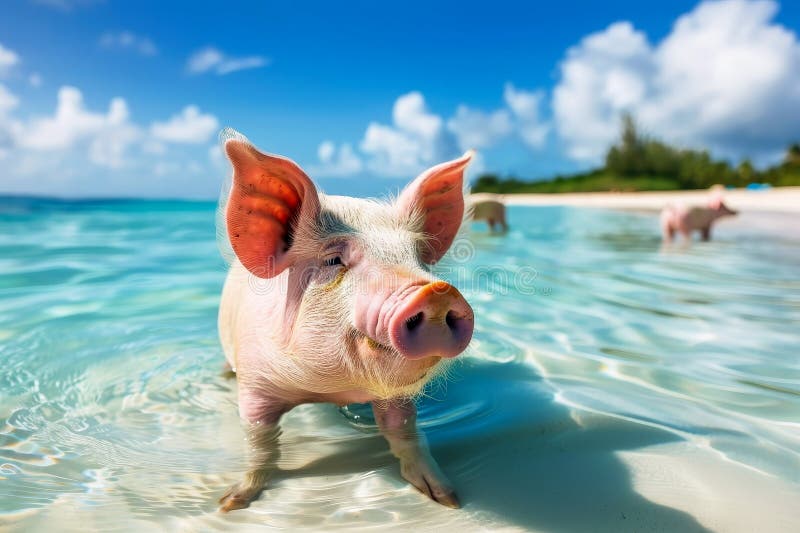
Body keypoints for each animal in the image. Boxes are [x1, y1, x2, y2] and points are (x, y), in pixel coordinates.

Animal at [215, 128, 475, 512]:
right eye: (334, 260)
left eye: (418, 258)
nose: (437, 292)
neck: (325, 389)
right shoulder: (255, 384)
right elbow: (260, 443)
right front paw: (231, 502)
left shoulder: (395, 396)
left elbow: (404, 431)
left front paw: (447, 498)